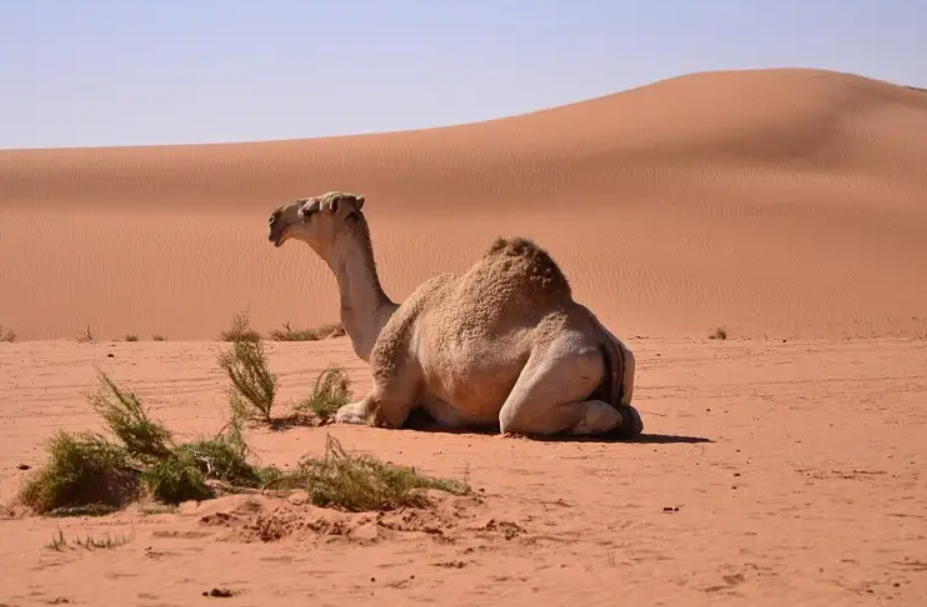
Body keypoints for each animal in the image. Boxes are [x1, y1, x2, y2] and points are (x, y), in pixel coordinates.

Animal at [267, 191, 643, 438]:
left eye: (310, 210)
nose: (274, 219)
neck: (383, 321)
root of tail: (601, 339)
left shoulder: (388, 397)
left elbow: (345, 412)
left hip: (560, 363)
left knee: (527, 415)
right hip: (626, 360)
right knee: (632, 415)